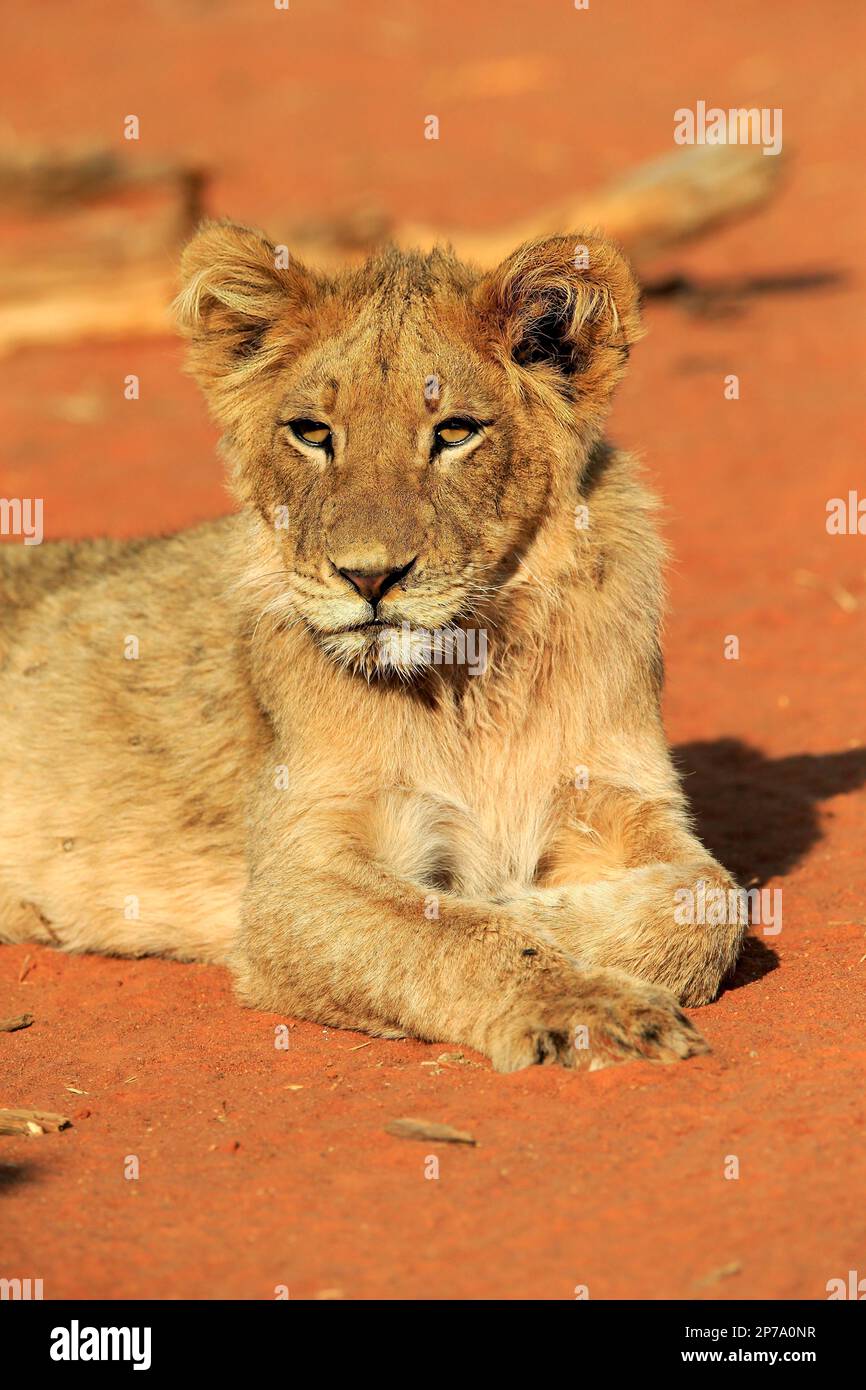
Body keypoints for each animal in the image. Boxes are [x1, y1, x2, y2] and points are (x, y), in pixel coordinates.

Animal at [0, 222, 744, 1071]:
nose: (368, 576)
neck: (474, 679)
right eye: (313, 433)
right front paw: (586, 1001)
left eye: (454, 432)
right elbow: (458, 934)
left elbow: (714, 899)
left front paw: (534, 907)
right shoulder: (294, 880)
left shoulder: (621, 794)